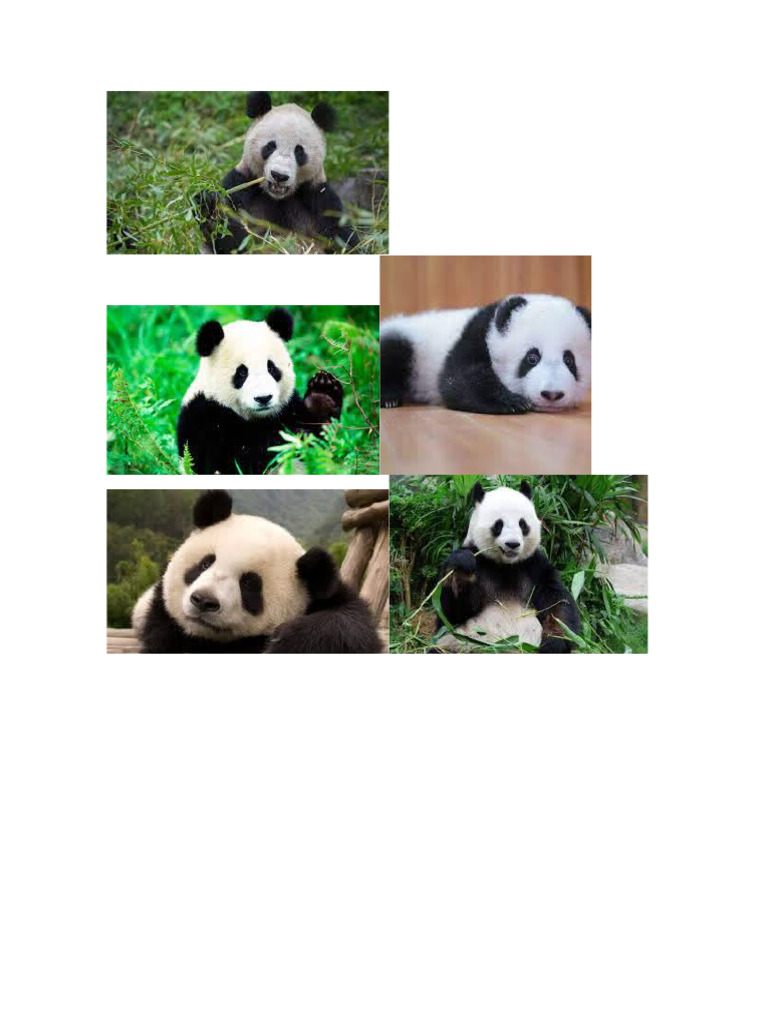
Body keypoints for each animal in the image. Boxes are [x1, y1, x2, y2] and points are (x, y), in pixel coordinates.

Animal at [132, 490, 382, 653]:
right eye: (205, 564)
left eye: (250, 584)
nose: (204, 600)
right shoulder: (161, 620)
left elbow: (350, 625)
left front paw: (285, 640)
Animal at [176, 308, 343, 475]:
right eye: (242, 372)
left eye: (271, 368)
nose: (264, 398)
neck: (258, 418)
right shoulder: (202, 416)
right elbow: (230, 460)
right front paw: (289, 438)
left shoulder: (288, 406)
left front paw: (321, 398)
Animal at [197, 92, 357, 254]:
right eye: (270, 146)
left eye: (299, 151)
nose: (279, 176)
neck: (277, 198)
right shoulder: (241, 184)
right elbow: (233, 241)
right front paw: (209, 207)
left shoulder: (318, 195)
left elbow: (343, 239)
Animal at [381, 294, 591, 414]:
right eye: (532, 358)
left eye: (569, 360)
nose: (552, 394)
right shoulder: (478, 333)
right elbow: (457, 379)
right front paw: (512, 402)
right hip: (410, 341)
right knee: (392, 355)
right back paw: (389, 399)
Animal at [432, 482, 581, 653]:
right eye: (498, 524)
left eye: (522, 524)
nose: (512, 544)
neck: (505, 565)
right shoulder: (479, 561)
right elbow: (450, 614)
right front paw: (463, 565)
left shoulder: (535, 566)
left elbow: (557, 605)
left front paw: (554, 643)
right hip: (458, 644)